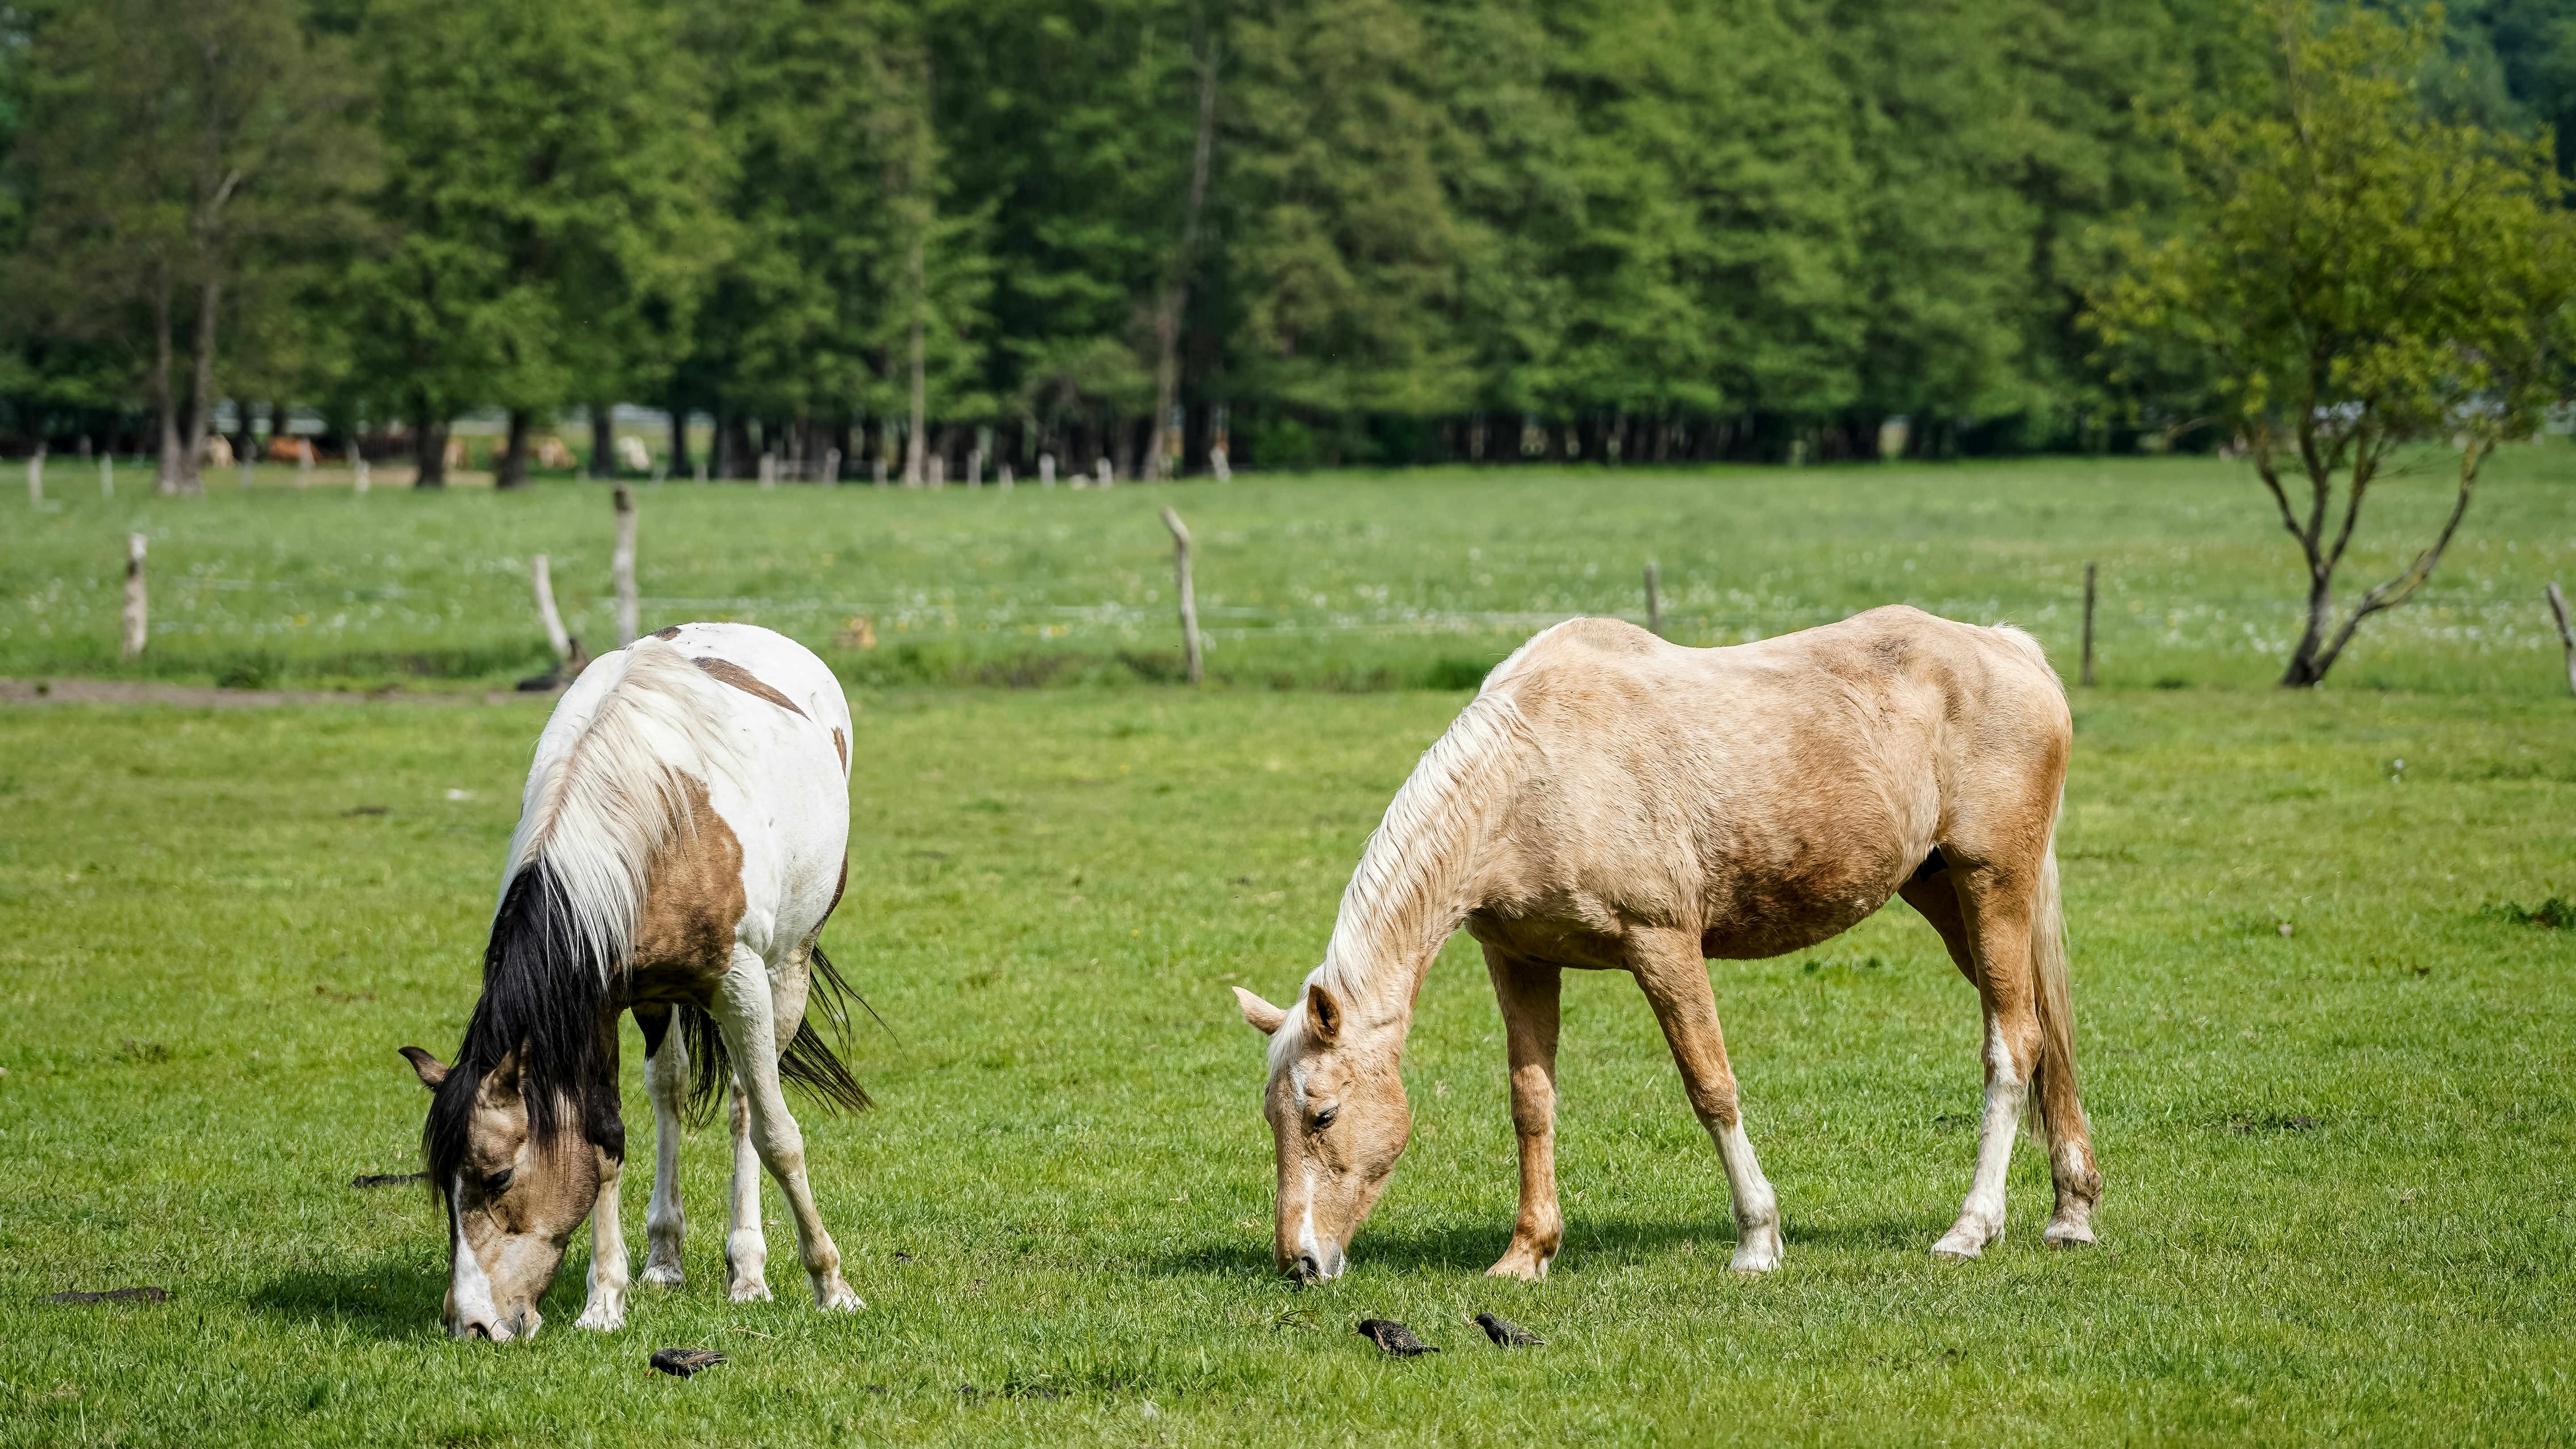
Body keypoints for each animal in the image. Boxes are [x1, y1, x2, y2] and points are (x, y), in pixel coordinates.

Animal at [397, 623, 872, 1339]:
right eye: (442, 1187)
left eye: (498, 1176)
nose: (470, 1324)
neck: (648, 825)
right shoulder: (598, 1001)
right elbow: (603, 1140)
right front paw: (604, 1301)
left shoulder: (740, 982)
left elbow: (779, 1135)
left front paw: (831, 1284)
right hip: (659, 1000)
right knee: (670, 1088)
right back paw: (664, 1258)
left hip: (784, 970)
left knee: (746, 1103)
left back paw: (748, 1270)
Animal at [1231, 608, 2101, 1281]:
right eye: (1273, 1117)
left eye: (1322, 1114)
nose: (1299, 1261)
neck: (1532, 771)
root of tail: (2008, 648)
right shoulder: (1520, 961)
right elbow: (1531, 1101)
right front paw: (1526, 1254)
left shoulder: (1663, 945)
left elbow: (1710, 1085)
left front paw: (1757, 1241)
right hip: (1947, 897)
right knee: (2046, 1035)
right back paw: (2071, 1213)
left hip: (1992, 886)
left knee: (2012, 1044)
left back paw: (1970, 1229)